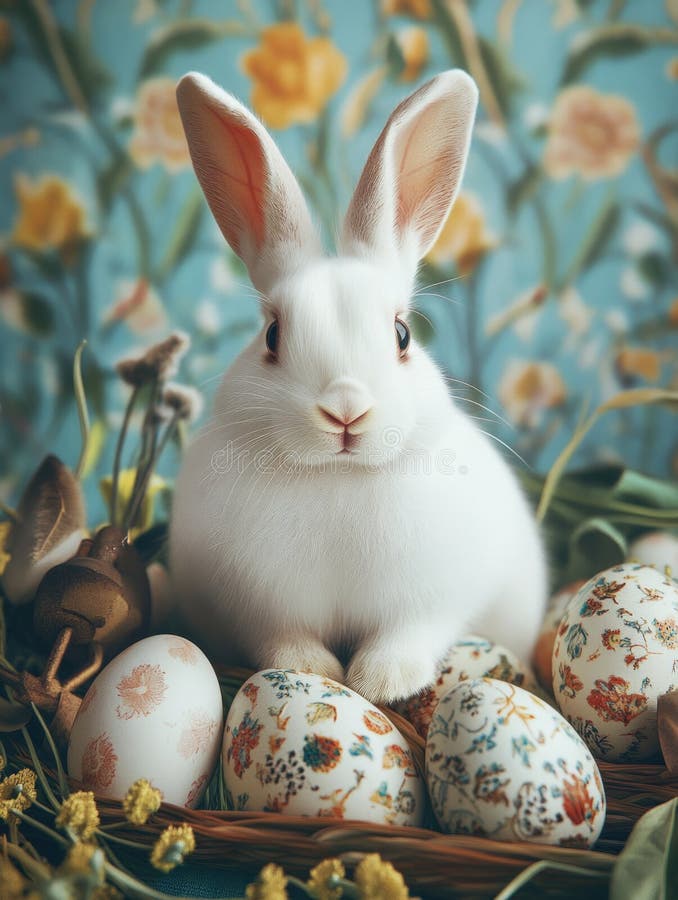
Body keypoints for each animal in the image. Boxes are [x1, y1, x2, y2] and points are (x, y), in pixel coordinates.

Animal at [169, 69, 548, 705]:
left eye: (402, 334)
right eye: (272, 334)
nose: (345, 412)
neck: (338, 478)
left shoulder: (432, 601)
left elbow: (410, 635)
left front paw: (381, 682)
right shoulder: (255, 609)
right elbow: (282, 639)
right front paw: (316, 671)